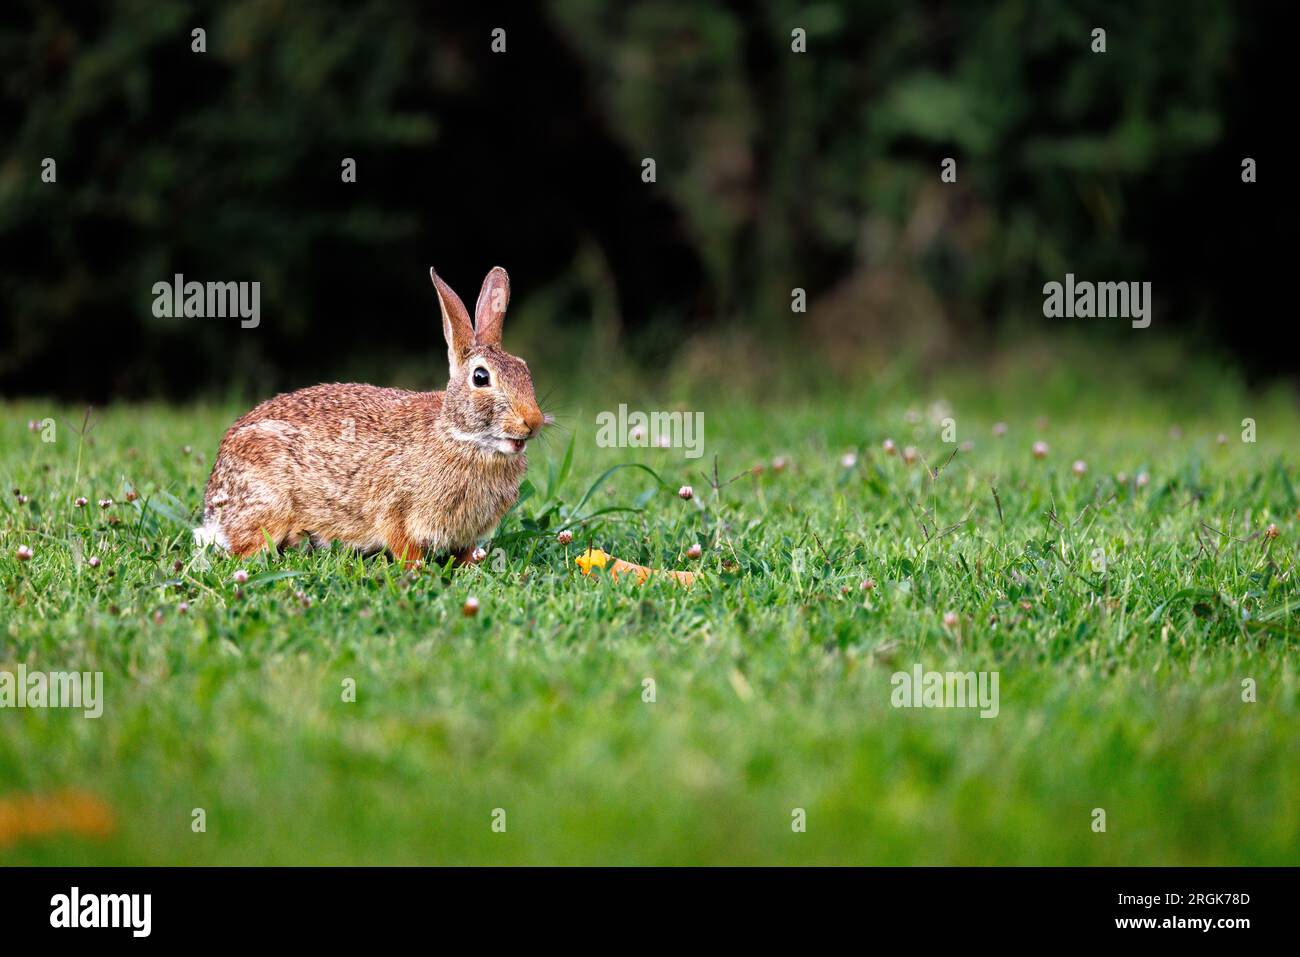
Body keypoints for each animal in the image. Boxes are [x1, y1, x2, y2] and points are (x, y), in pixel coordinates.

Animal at [193, 266, 546, 569]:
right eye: (481, 377)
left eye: (525, 369)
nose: (533, 421)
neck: (461, 437)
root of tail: (214, 506)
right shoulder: (394, 509)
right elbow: (402, 544)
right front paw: (417, 569)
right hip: (270, 502)